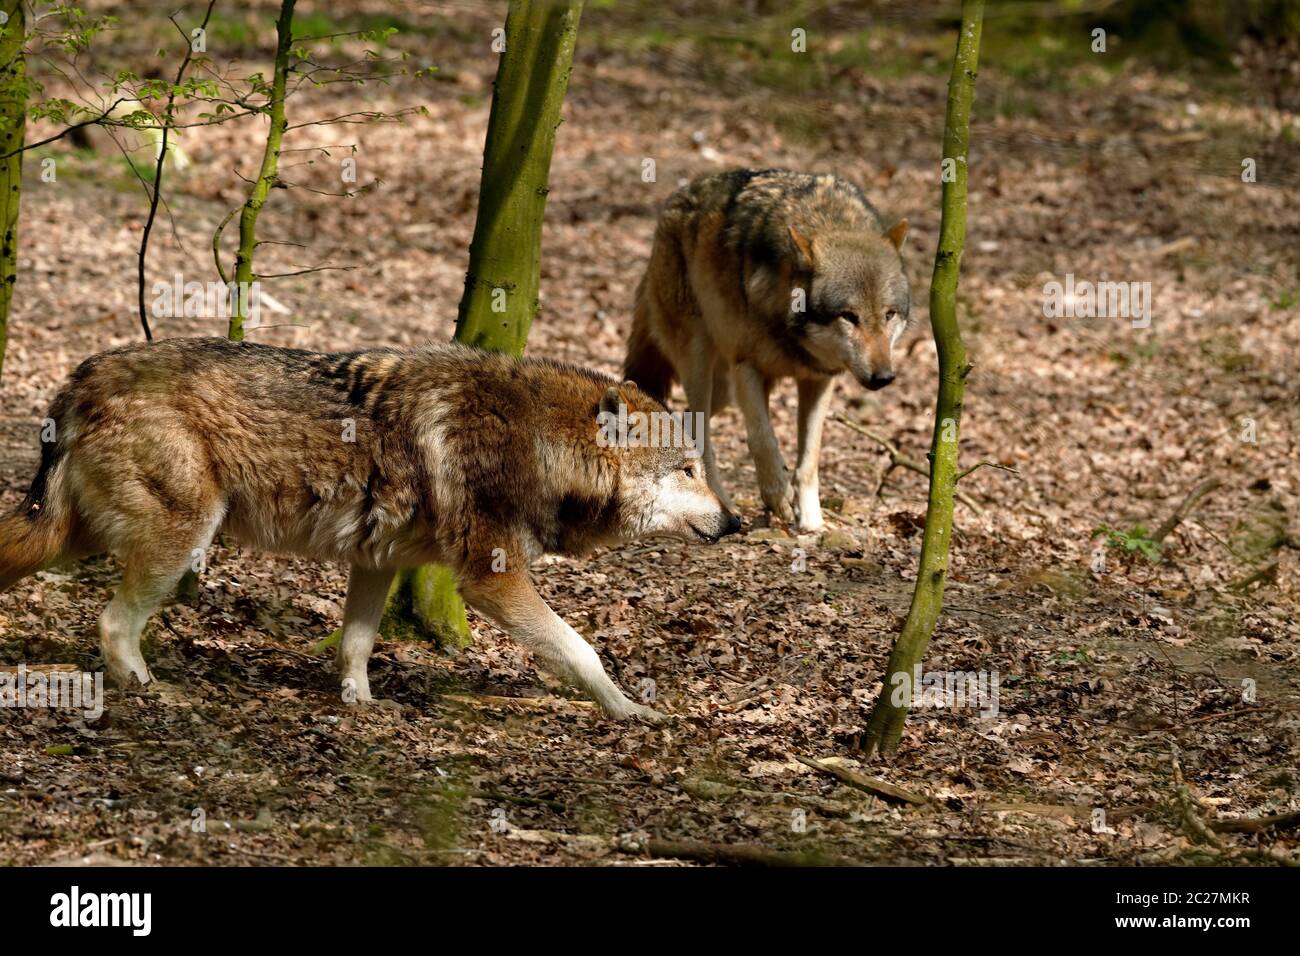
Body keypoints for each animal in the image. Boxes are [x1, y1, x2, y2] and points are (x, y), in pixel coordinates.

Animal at [0, 338, 740, 722]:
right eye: (688, 468)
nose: (737, 520)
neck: (539, 444)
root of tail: (79, 378)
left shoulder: (378, 559)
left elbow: (356, 641)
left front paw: (358, 702)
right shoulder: (491, 579)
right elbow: (580, 651)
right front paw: (629, 709)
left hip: (72, 535)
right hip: (180, 539)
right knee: (111, 622)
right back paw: (148, 689)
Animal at [625, 168, 911, 533]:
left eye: (889, 315)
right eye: (849, 316)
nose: (884, 377)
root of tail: (677, 198)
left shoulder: (819, 379)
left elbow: (810, 458)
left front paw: (812, 520)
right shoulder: (747, 368)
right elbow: (764, 440)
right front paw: (778, 499)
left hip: (723, 392)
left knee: (684, 421)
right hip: (700, 363)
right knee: (702, 437)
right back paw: (725, 508)